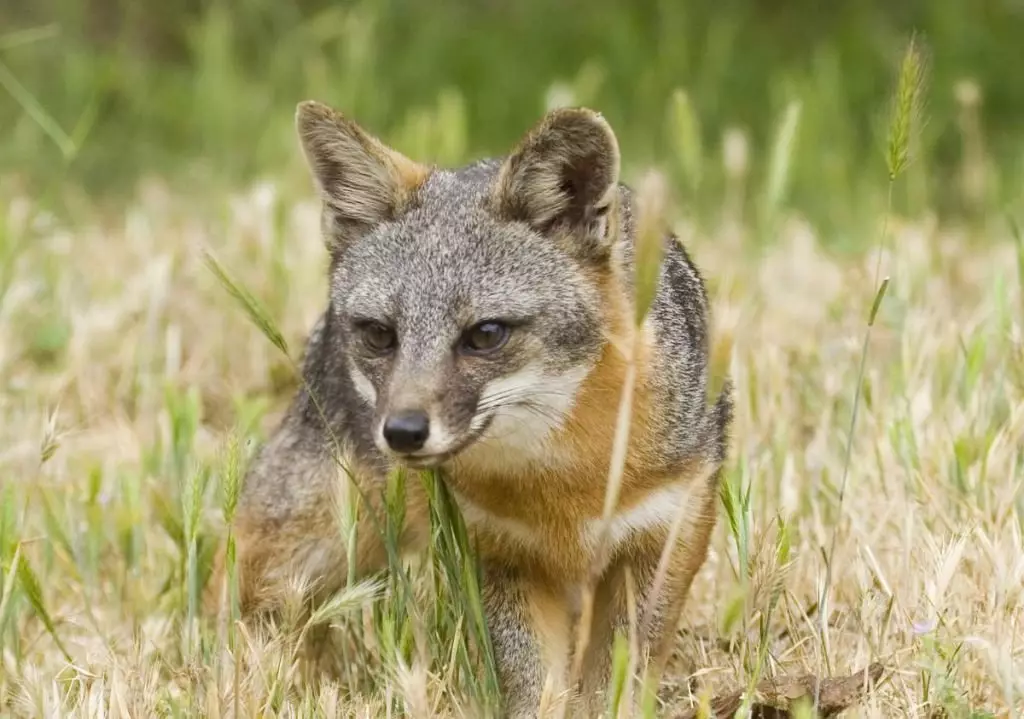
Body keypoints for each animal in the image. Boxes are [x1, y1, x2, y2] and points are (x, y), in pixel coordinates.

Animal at [207, 101, 733, 719]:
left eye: (485, 335)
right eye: (380, 335)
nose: (402, 432)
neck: (568, 483)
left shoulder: (661, 538)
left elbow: (616, 683)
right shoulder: (499, 555)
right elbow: (532, 689)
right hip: (312, 542)